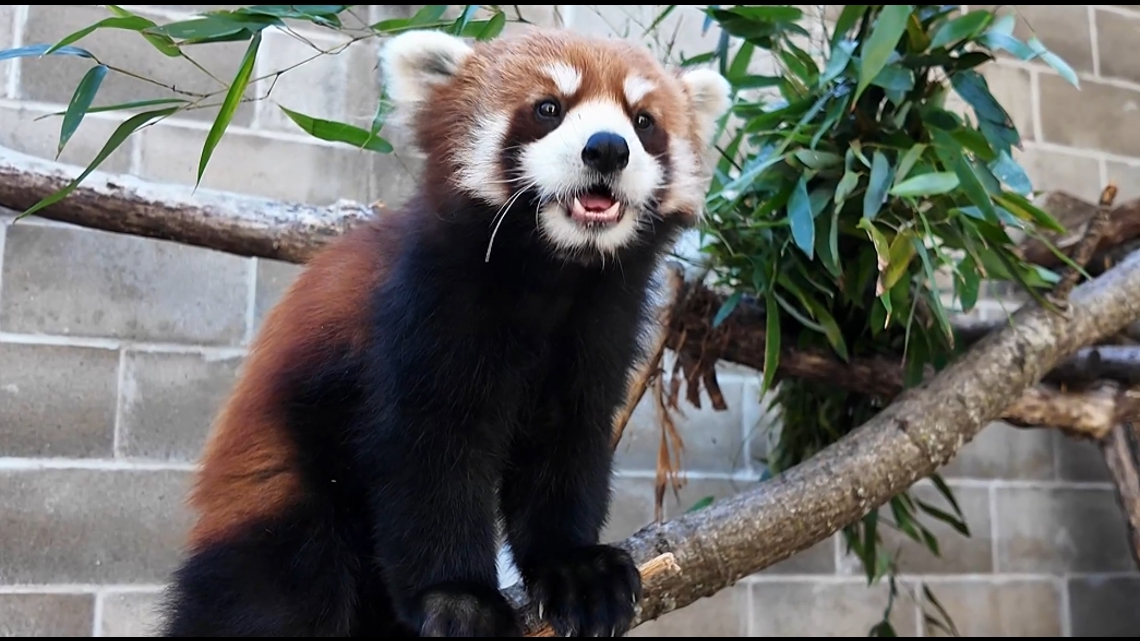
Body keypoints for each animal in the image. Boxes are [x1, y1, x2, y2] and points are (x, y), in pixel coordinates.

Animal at [159, 25, 731, 637]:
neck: (552, 275)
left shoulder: (601, 331)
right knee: (282, 589)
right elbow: (429, 461)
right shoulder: (422, 316)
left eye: (643, 120)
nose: (607, 147)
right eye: (548, 108)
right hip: (281, 502)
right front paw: (457, 599)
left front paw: (576, 569)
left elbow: (566, 449)